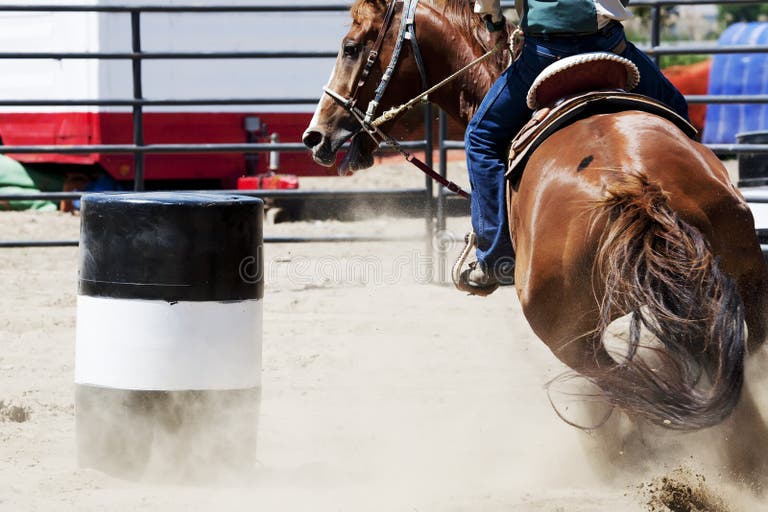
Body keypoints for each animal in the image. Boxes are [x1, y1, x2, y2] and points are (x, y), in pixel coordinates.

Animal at [303, 0, 768, 484]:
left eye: (350, 47)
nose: (316, 135)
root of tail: (634, 188)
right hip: (746, 289)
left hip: (566, 336)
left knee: (631, 388)